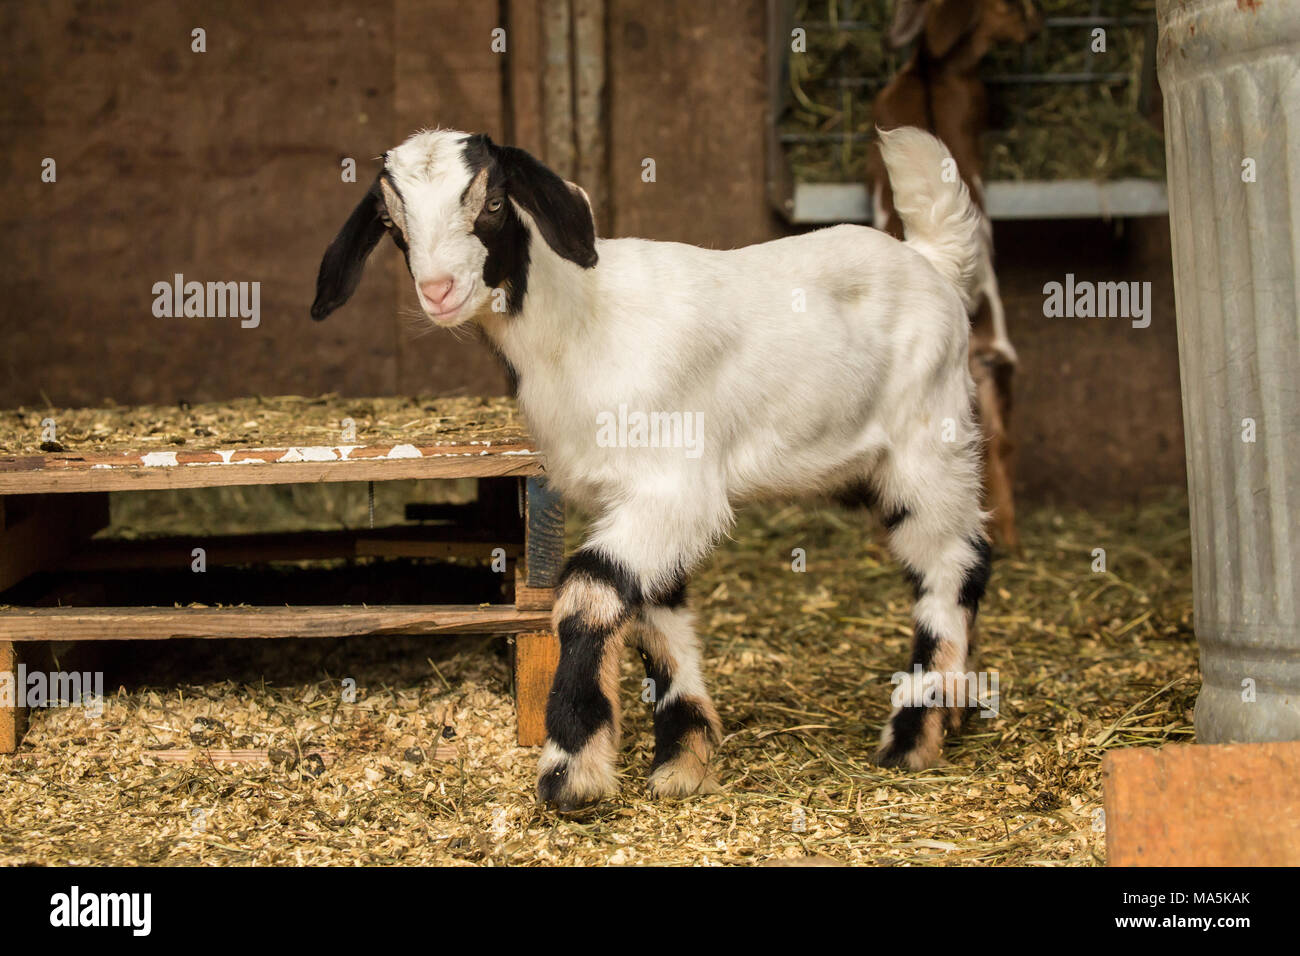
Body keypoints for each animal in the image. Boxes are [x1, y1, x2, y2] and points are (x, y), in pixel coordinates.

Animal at [312, 126, 992, 809]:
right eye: (390, 223)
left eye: (495, 202)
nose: (438, 290)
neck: (582, 323)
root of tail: (932, 261)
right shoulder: (631, 498)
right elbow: (657, 614)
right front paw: (684, 757)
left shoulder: (676, 484)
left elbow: (588, 593)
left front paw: (573, 771)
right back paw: (955, 711)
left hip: (927, 442)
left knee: (953, 564)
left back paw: (914, 735)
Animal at [867, 0, 1042, 551]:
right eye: (1010, 8)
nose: (1036, 28)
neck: (932, 71)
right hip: (988, 377)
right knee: (998, 445)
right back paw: (1007, 536)